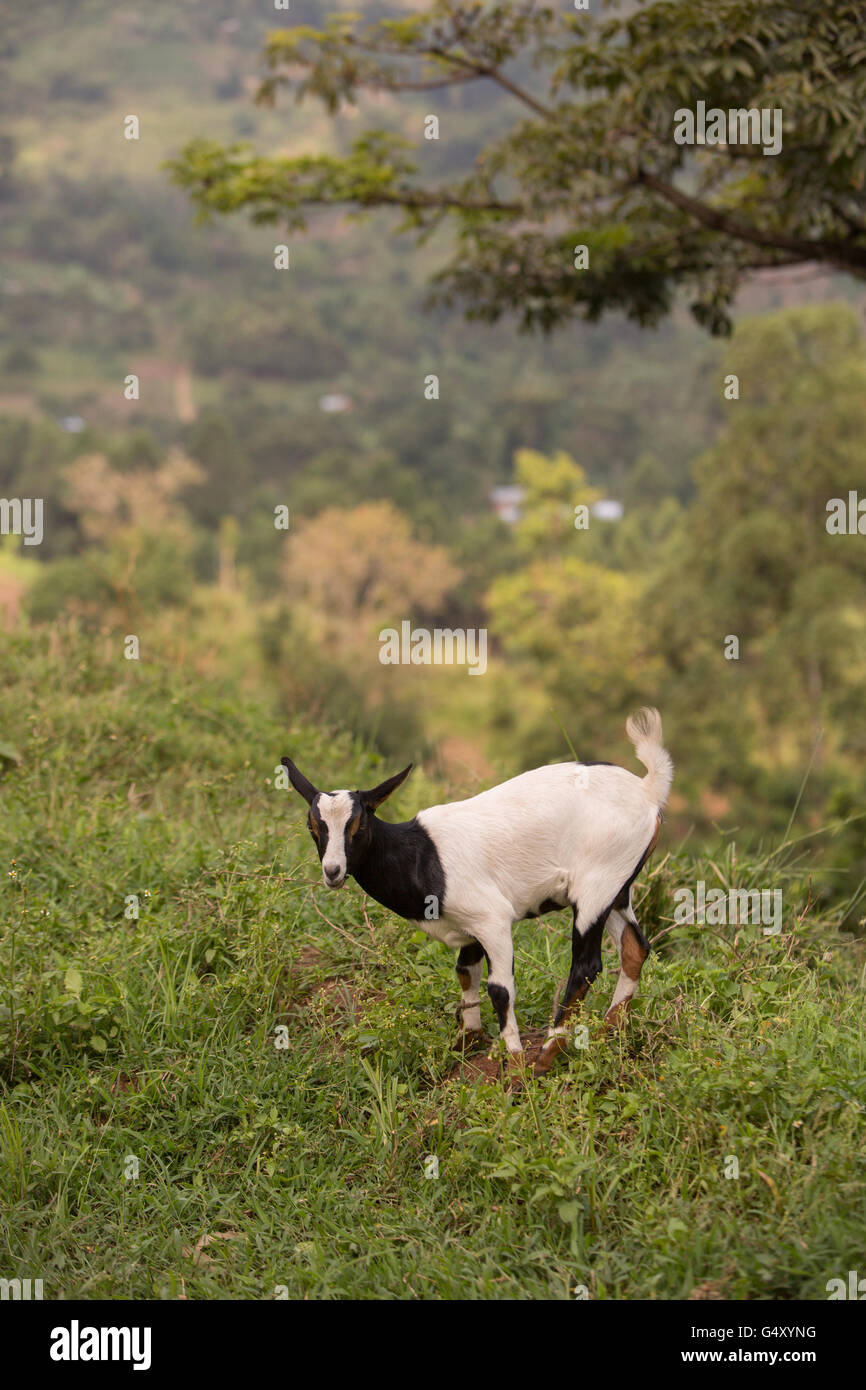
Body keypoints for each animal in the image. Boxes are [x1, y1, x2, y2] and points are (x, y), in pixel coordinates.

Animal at [283, 708, 672, 1073]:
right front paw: (466, 1041)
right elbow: (465, 971)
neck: (421, 854)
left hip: (595, 888)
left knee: (587, 966)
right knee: (635, 947)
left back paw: (547, 1054)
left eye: (358, 826)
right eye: (313, 827)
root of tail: (647, 789)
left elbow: (500, 989)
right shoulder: (468, 926)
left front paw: (513, 1063)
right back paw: (611, 1029)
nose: (333, 872)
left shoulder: (492, 919)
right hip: (617, 886)